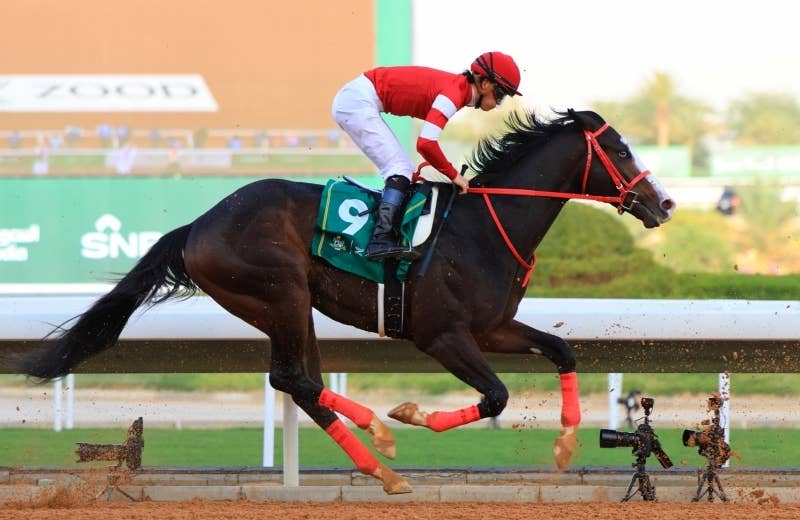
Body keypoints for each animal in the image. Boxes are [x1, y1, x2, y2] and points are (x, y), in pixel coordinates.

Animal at [10, 109, 674, 494]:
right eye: (619, 150)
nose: (663, 203)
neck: (483, 228)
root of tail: (199, 224)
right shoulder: (442, 336)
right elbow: (496, 396)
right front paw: (410, 414)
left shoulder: (492, 328)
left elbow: (562, 350)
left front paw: (564, 446)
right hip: (279, 292)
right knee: (293, 379)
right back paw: (380, 442)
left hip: (291, 305)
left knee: (301, 381)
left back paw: (379, 464)